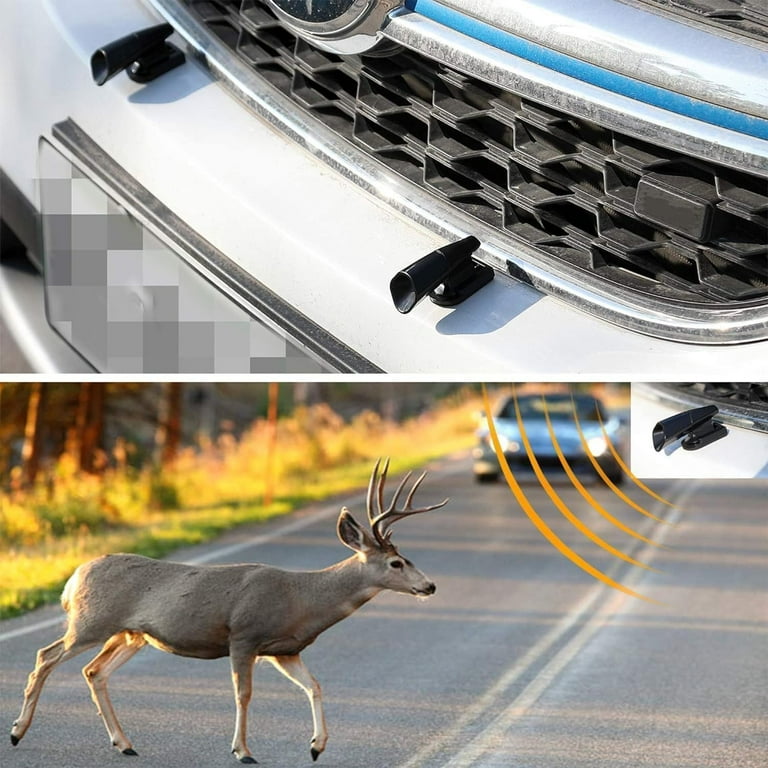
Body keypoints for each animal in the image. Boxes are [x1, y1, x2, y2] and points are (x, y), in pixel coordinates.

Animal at [9, 458, 448, 763]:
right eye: (396, 563)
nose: (429, 586)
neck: (303, 599)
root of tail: (73, 579)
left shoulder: (286, 649)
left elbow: (315, 686)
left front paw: (317, 746)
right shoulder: (244, 635)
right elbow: (243, 694)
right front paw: (243, 751)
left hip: (131, 634)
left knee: (94, 671)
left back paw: (125, 744)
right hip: (91, 621)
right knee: (45, 656)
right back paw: (17, 732)